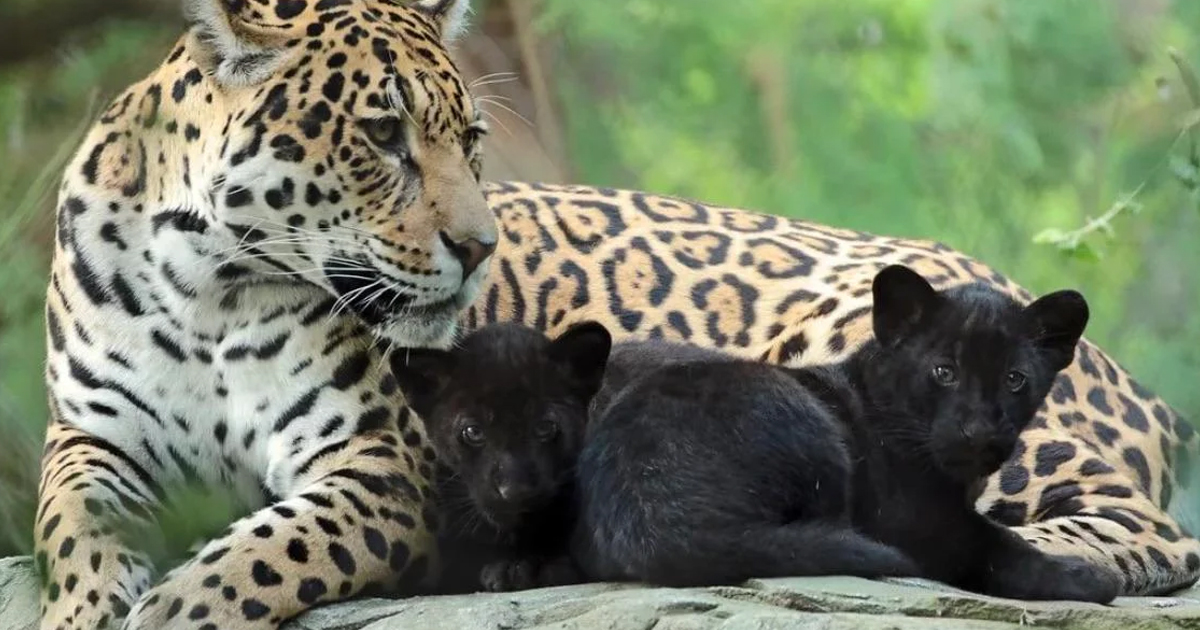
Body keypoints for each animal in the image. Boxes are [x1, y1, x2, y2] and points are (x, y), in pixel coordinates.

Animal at [34, 0, 1200, 628]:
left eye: (470, 140)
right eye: (382, 136)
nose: (478, 251)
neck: (210, 282)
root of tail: (1134, 384)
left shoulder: (381, 464)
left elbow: (259, 555)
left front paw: (176, 604)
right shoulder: (88, 439)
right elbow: (71, 529)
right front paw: (86, 600)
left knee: (1139, 539)